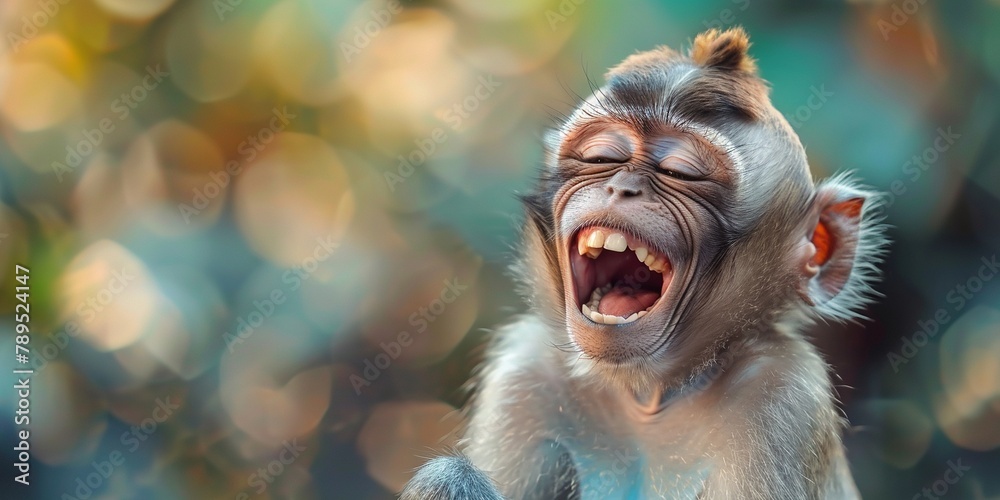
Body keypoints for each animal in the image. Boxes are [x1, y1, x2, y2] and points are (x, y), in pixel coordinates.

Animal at [402, 27, 887, 500]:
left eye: (681, 171)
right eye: (602, 157)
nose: (622, 187)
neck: (647, 395)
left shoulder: (784, 395)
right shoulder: (525, 373)